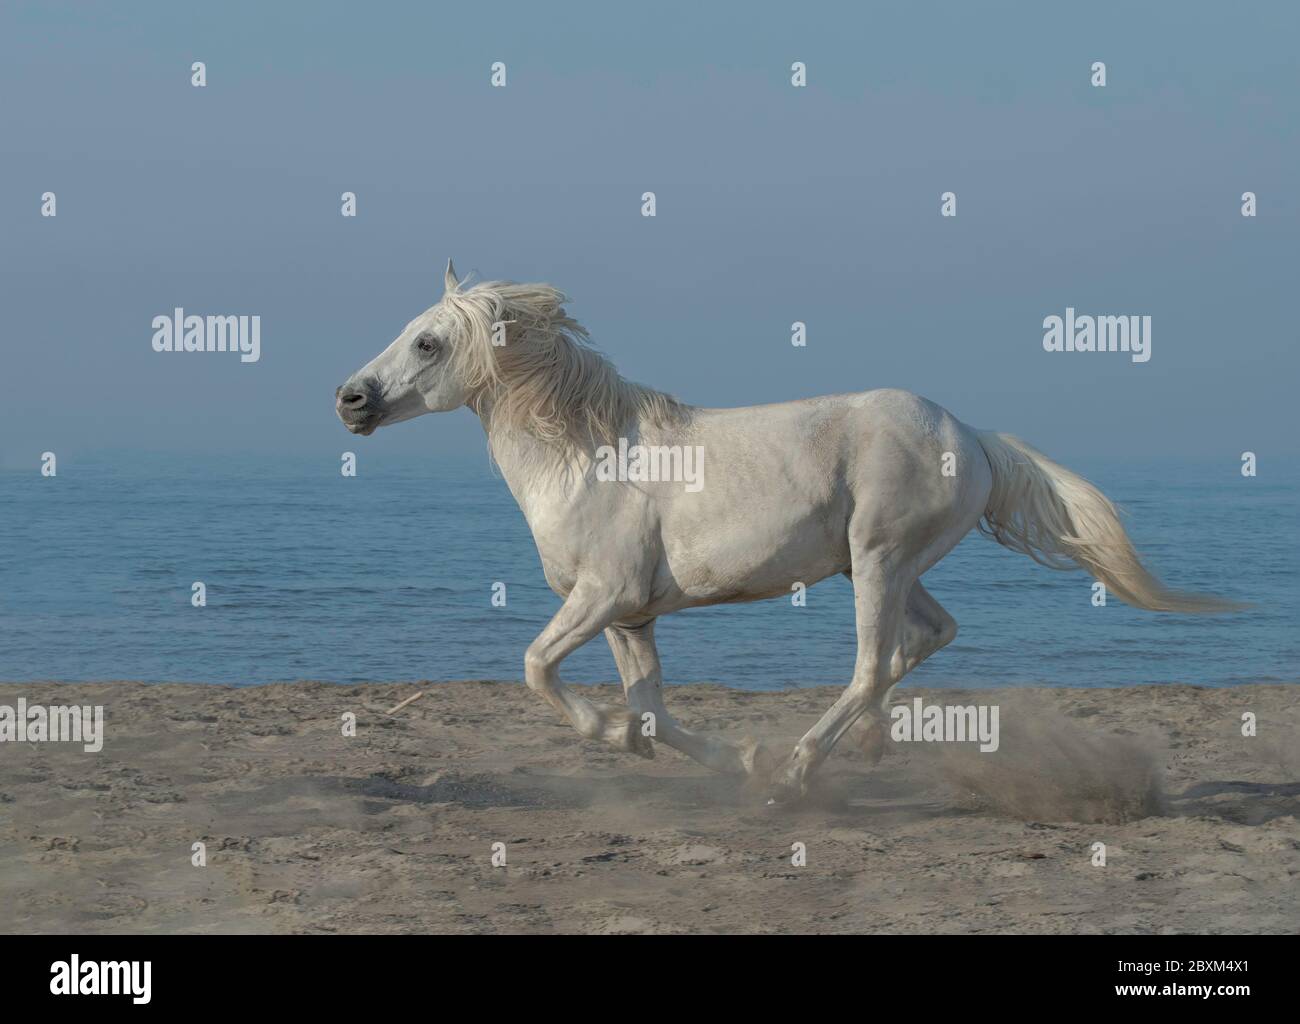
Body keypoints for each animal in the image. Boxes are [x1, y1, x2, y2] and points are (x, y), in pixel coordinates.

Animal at [336, 261, 1238, 802]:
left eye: (427, 342)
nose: (350, 399)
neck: (585, 455)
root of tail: (973, 436)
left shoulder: (603, 598)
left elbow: (536, 668)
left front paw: (625, 737)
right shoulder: (632, 615)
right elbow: (652, 707)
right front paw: (721, 755)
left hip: (878, 560)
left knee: (872, 664)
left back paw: (798, 773)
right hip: (884, 566)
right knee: (928, 637)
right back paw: (840, 752)